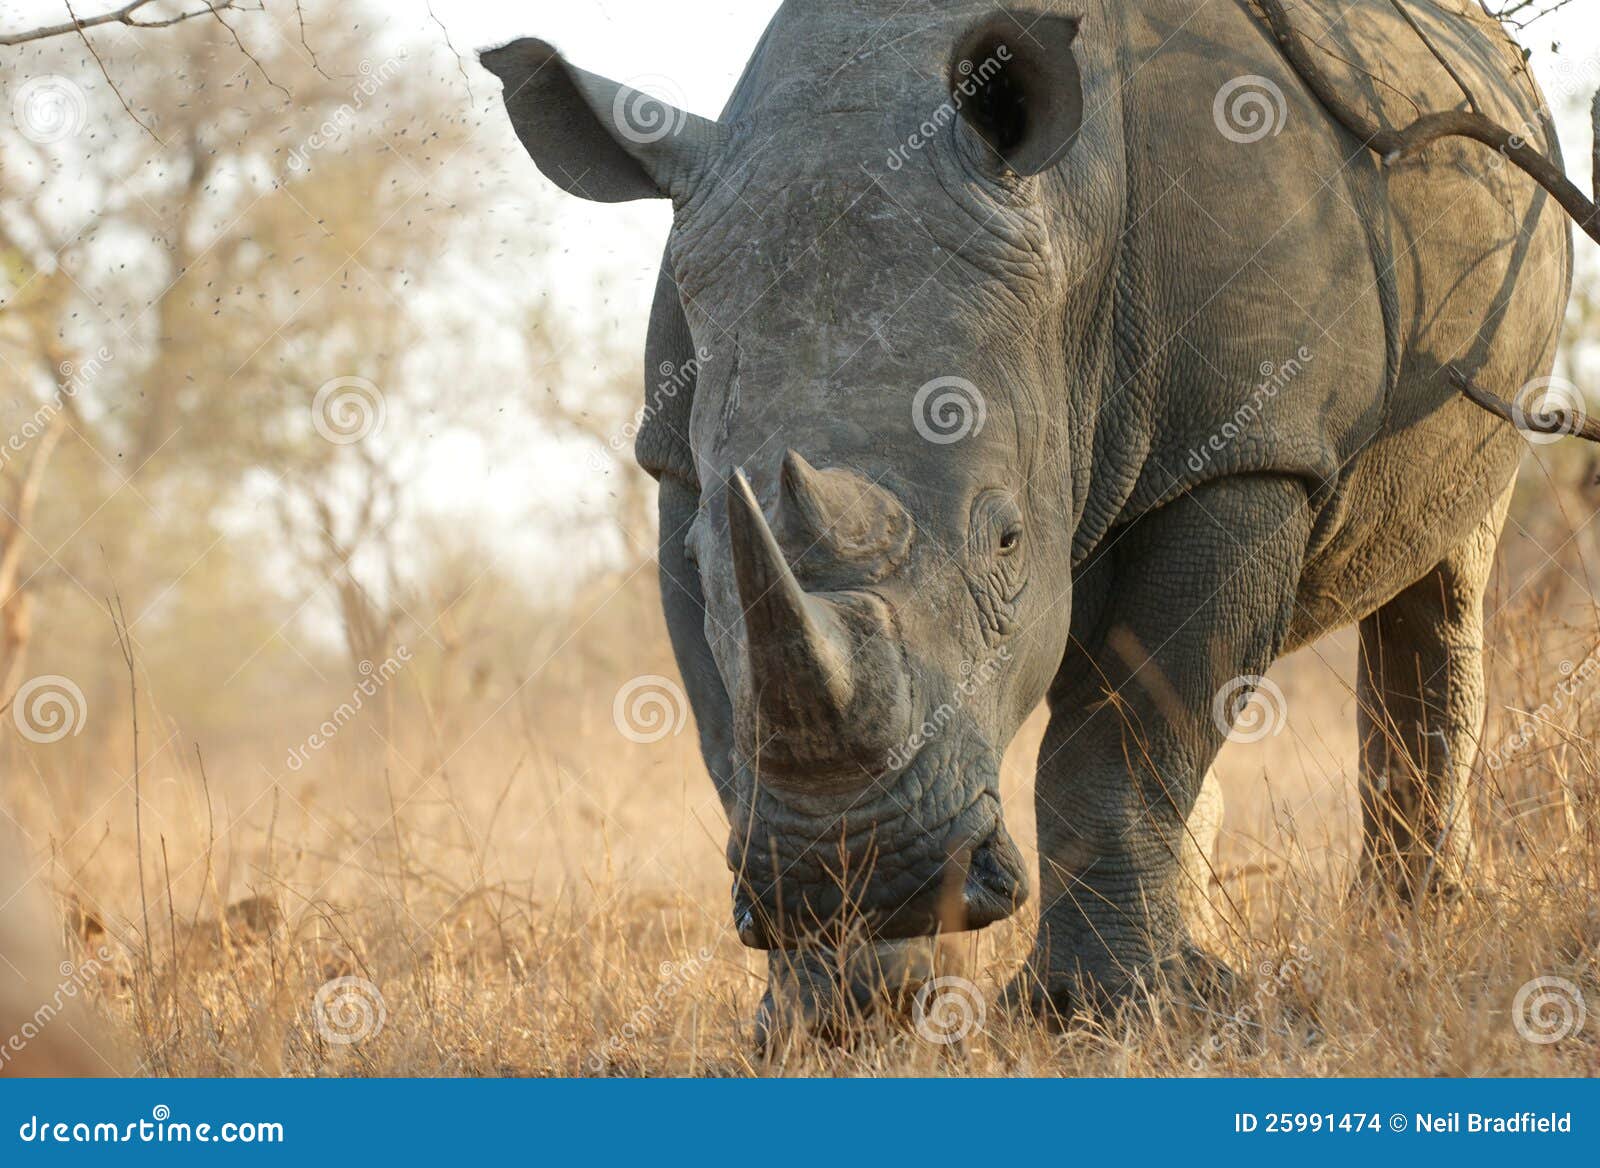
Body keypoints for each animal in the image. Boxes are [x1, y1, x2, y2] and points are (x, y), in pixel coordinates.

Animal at [482, 0, 1570, 1031]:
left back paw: (1404, 938)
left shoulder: (1251, 447)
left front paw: (1096, 1016)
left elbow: (1123, 739)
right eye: (707, 557)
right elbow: (728, 722)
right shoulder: (674, 464)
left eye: (1005, 539)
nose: (870, 868)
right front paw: (830, 1022)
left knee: (1443, 575)